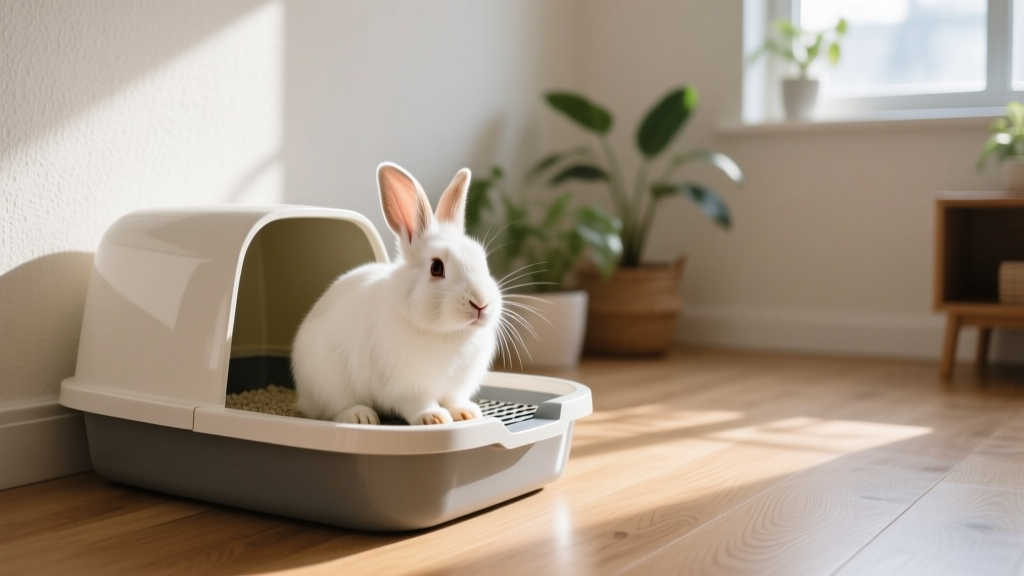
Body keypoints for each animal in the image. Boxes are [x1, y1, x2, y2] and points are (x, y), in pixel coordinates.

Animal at [291, 162, 504, 425]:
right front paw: (434, 418)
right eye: (436, 267)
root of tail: (303, 396)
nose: (481, 303)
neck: (449, 334)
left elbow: (453, 399)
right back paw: (362, 416)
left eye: (482, 260)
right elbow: (419, 403)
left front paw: (467, 413)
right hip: (330, 383)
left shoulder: (455, 386)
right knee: (332, 410)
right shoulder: (408, 386)